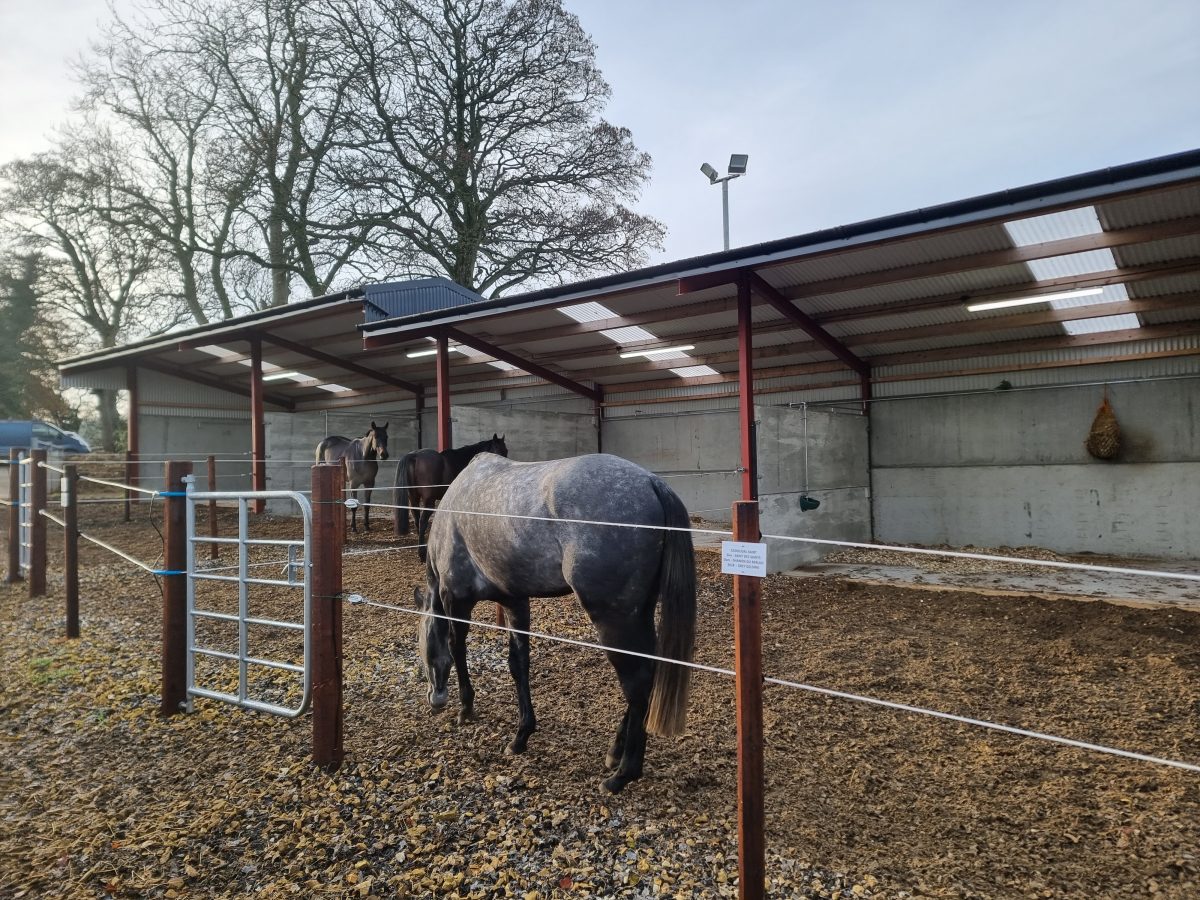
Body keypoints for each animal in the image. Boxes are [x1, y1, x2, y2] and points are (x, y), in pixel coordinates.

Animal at [414, 453, 697, 793]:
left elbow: (457, 649)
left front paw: (465, 708)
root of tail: (652, 483)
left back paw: (623, 773)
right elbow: (518, 664)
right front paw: (521, 735)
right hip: (637, 614)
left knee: (638, 683)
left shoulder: (456, 599)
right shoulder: (515, 602)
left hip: (614, 620)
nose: (434, 699)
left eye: (423, 653)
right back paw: (616, 751)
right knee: (648, 674)